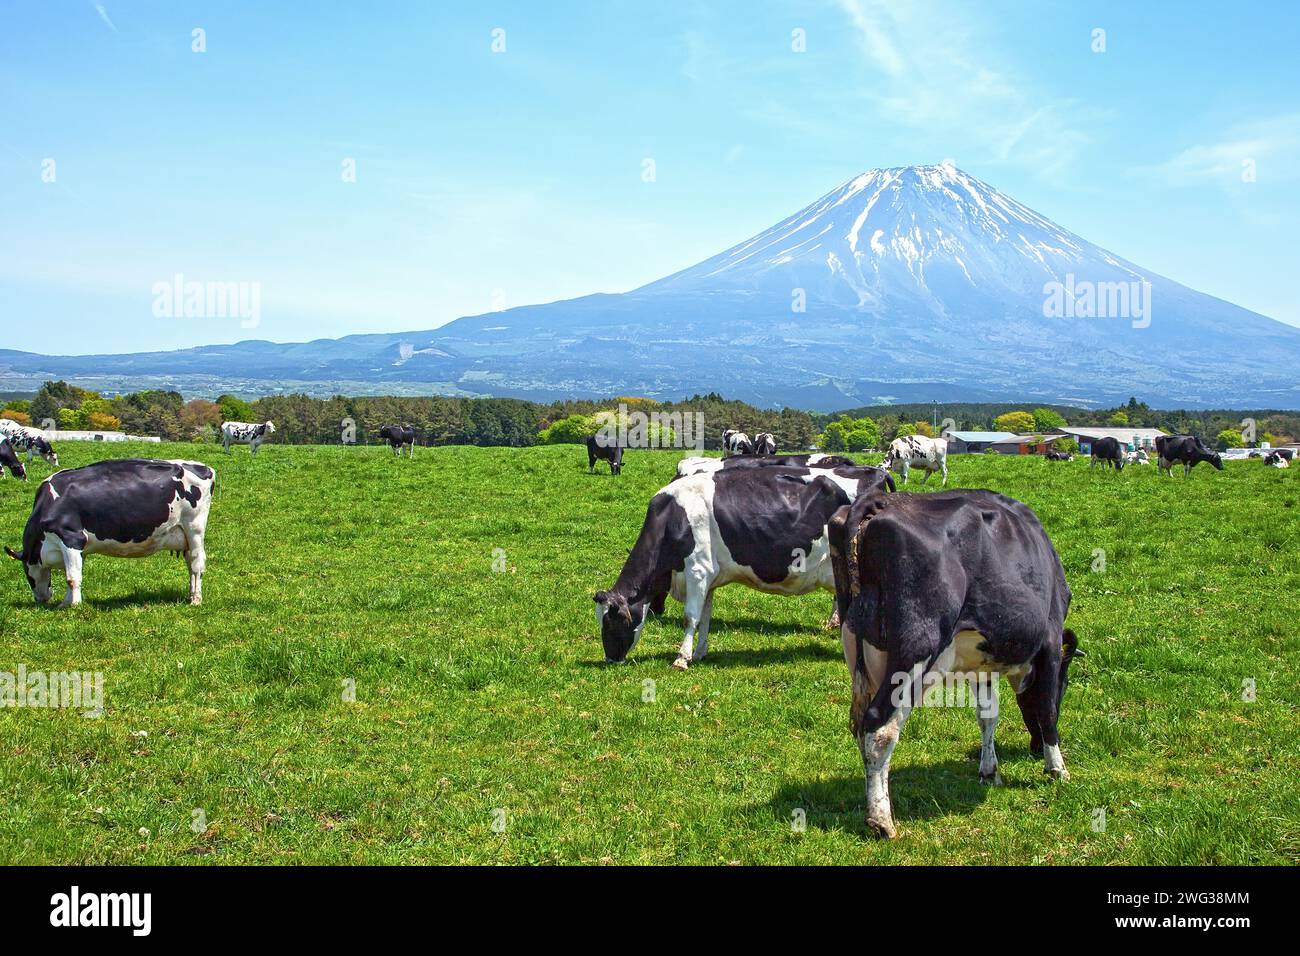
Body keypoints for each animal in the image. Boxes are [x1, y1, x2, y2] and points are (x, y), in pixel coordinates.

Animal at [5, 459, 215, 608]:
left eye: (27, 573)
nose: (41, 599)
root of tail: (202, 467)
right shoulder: (78, 548)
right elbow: (73, 573)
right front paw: (65, 603)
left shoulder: (71, 537)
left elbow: (72, 578)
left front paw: (74, 606)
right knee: (190, 564)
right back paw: (190, 595)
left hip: (194, 527)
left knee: (196, 563)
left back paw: (196, 599)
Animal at [594, 466, 891, 670]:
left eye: (612, 621)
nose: (610, 659)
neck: (672, 519)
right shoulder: (709, 578)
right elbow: (705, 617)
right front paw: (700, 653)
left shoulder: (697, 571)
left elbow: (690, 617)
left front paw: (681, 658)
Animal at [828, 489, 1081, 838]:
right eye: (1065, 685)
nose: (1032, 748)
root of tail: (877, 503)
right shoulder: (1051, 641)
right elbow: (1046, 710)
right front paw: (1057, 768)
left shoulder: (982, 665)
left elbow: (988, 716)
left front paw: (989, 771)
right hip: (916, 650)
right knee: (879, 726)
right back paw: (881, 819)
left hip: (856, 646)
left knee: (859, 728)